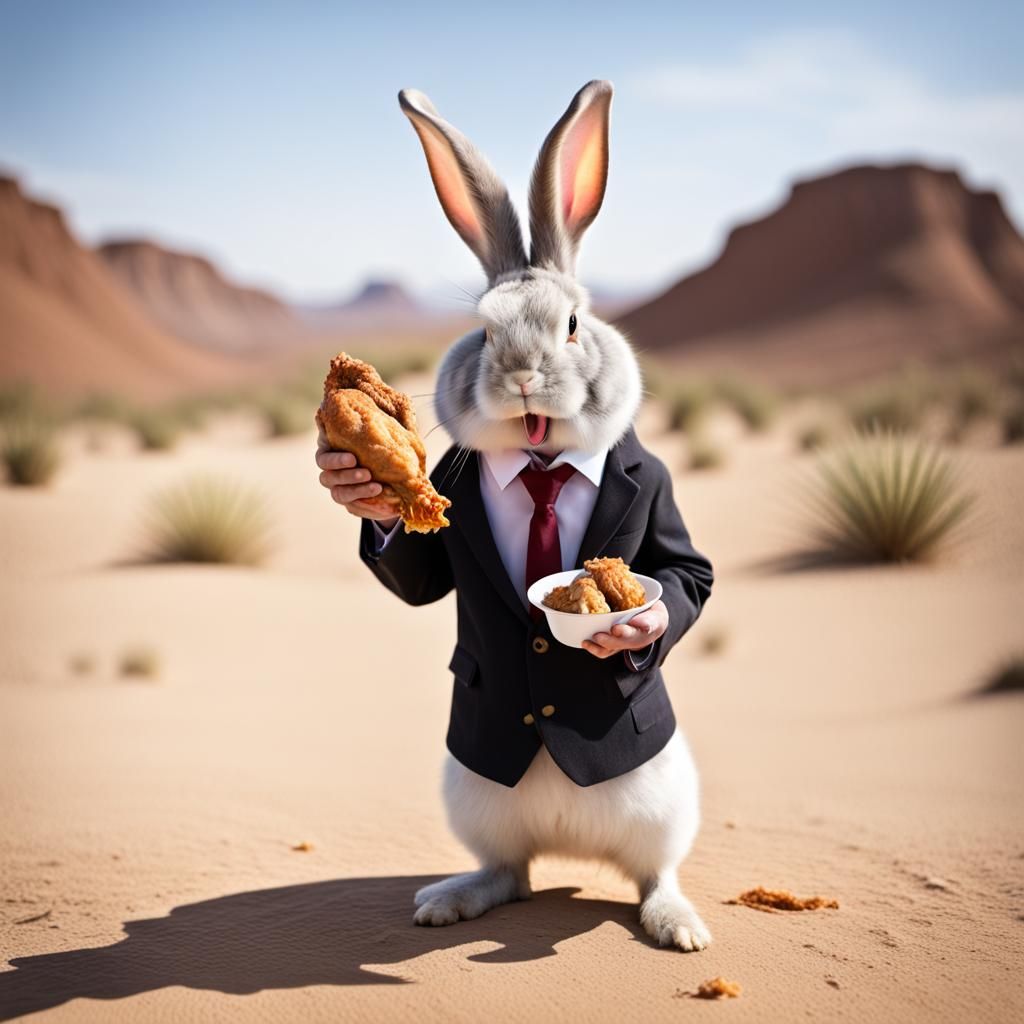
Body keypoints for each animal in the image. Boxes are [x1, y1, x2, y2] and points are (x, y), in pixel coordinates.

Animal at [396, 80, 712, 952]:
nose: (522, 374)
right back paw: (446, 901)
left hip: (664, 807)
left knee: (652, 875)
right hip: (475, 798)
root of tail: (574, 851)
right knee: (510, 874)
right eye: (482, 329)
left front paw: (636, 620)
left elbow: (684, 573)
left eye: (571, 325)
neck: (541, 465)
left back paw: (679, 928)